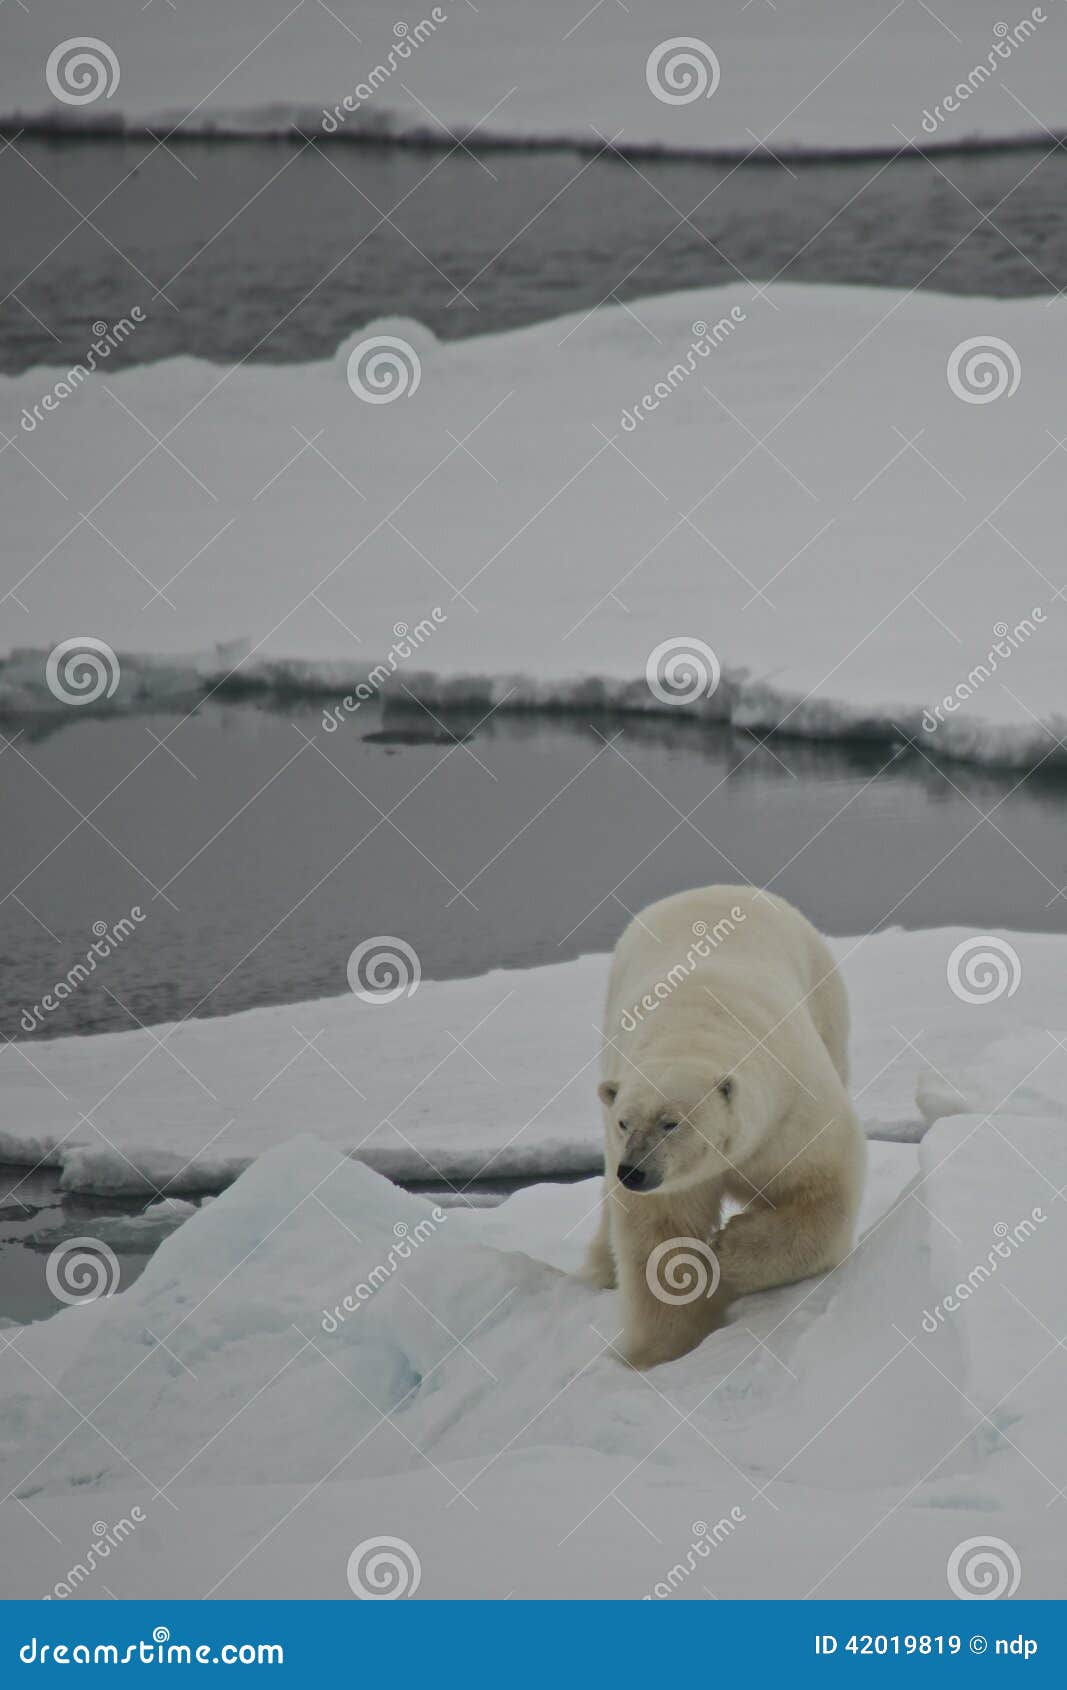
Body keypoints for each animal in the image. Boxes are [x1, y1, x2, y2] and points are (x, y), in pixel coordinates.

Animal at [582, 884, 866, 1369]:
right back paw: (601, 1268)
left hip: (826, 1003)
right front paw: (658, 1353)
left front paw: (727, 1251)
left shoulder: (789, 1111)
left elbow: (824, 1191)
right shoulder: (671, 1179)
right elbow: (661, 1237)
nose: (634, 1172)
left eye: (671, 1122)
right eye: (624, 1122)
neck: (695, 1023)